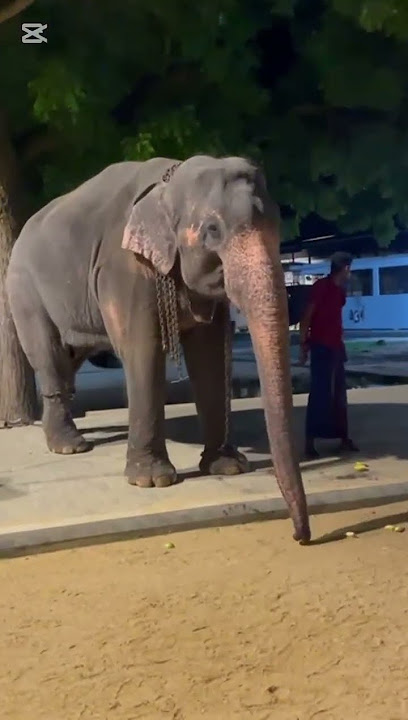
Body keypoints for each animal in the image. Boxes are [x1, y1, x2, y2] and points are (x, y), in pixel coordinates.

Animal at [6, 155, 311, 543]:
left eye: (277, 224)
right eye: (212, 230)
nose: (300, 537)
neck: (170, 183)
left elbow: (210, 354)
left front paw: (227, 467)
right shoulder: (124, 270)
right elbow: (142, 351)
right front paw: (153, 481)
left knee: (70, 358)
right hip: (24, 290)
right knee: (49, 356)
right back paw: (70, 446)